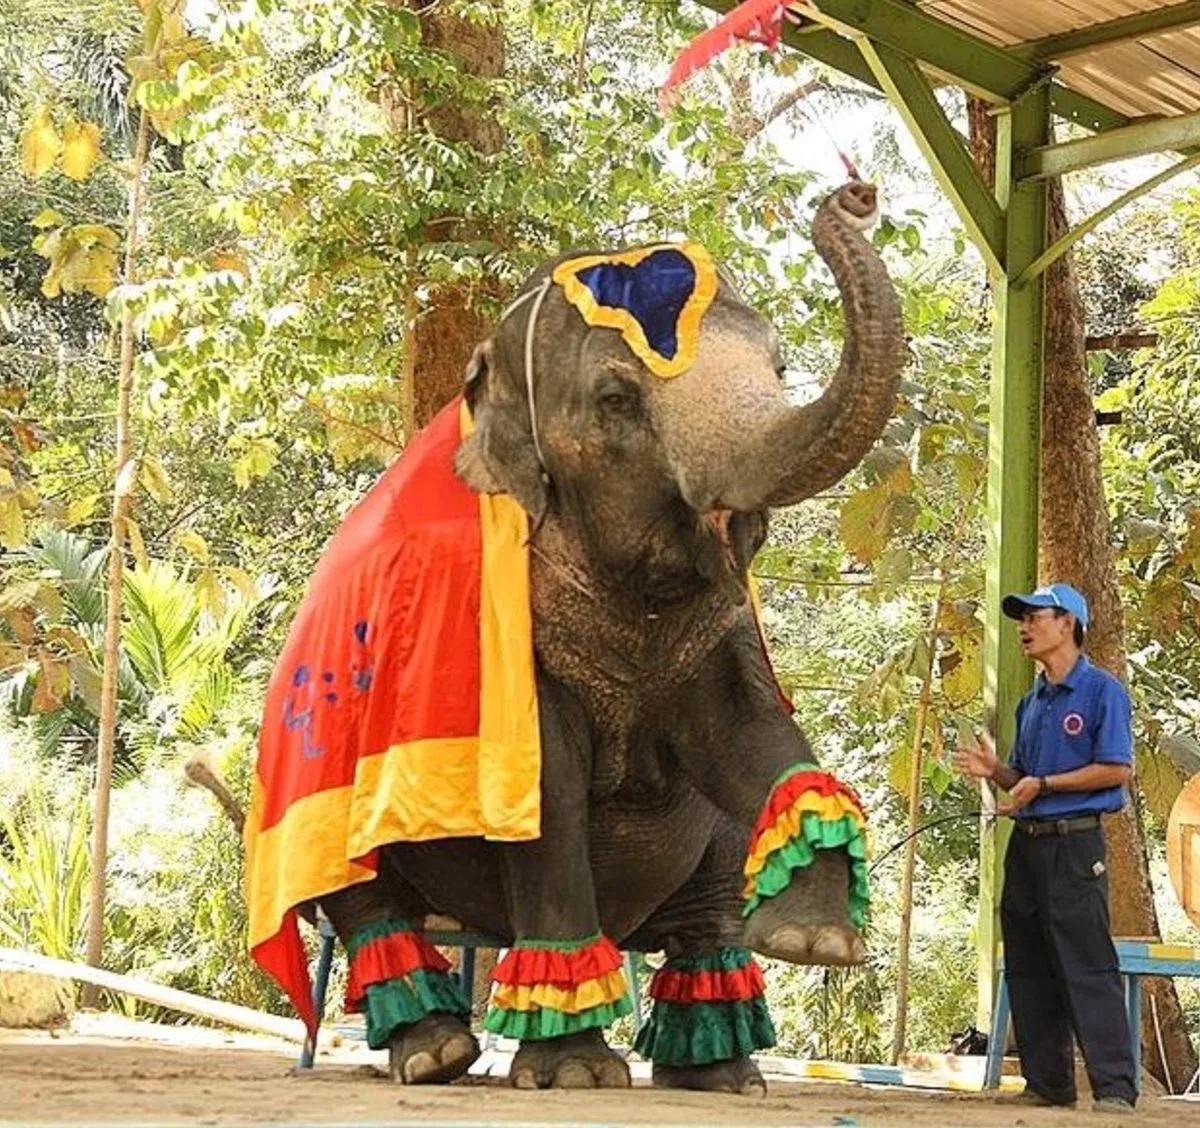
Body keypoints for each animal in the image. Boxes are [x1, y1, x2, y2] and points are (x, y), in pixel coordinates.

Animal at [246, 180, 906, 1096]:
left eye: (777, 369)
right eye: (617, 400)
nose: (853, 193)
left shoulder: (721, 623)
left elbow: (747, 733)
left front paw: (815, 940)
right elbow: (545, 785)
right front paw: (575, 1074)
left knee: (707, 902)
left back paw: (727, 1072)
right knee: (356, 886)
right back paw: (437, 1054)